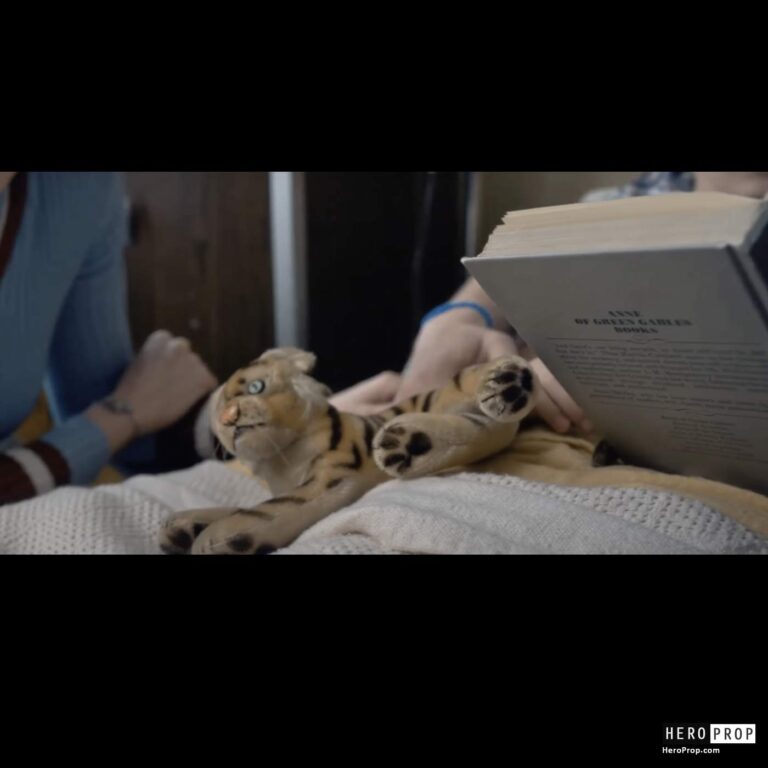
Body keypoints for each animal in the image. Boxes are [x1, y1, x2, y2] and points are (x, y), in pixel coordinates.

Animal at [159, 347, 541, 555]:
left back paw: (509, 382)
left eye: (256, 387)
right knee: (486, 428)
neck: (277, 459)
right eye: (217, 416)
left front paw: (211, 538)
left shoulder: (330, 476)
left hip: (447, 392)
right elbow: (240, 505)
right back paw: (406, 444)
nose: (228, 417)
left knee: (478, 395)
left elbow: (267, 510)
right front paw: (181, 526)